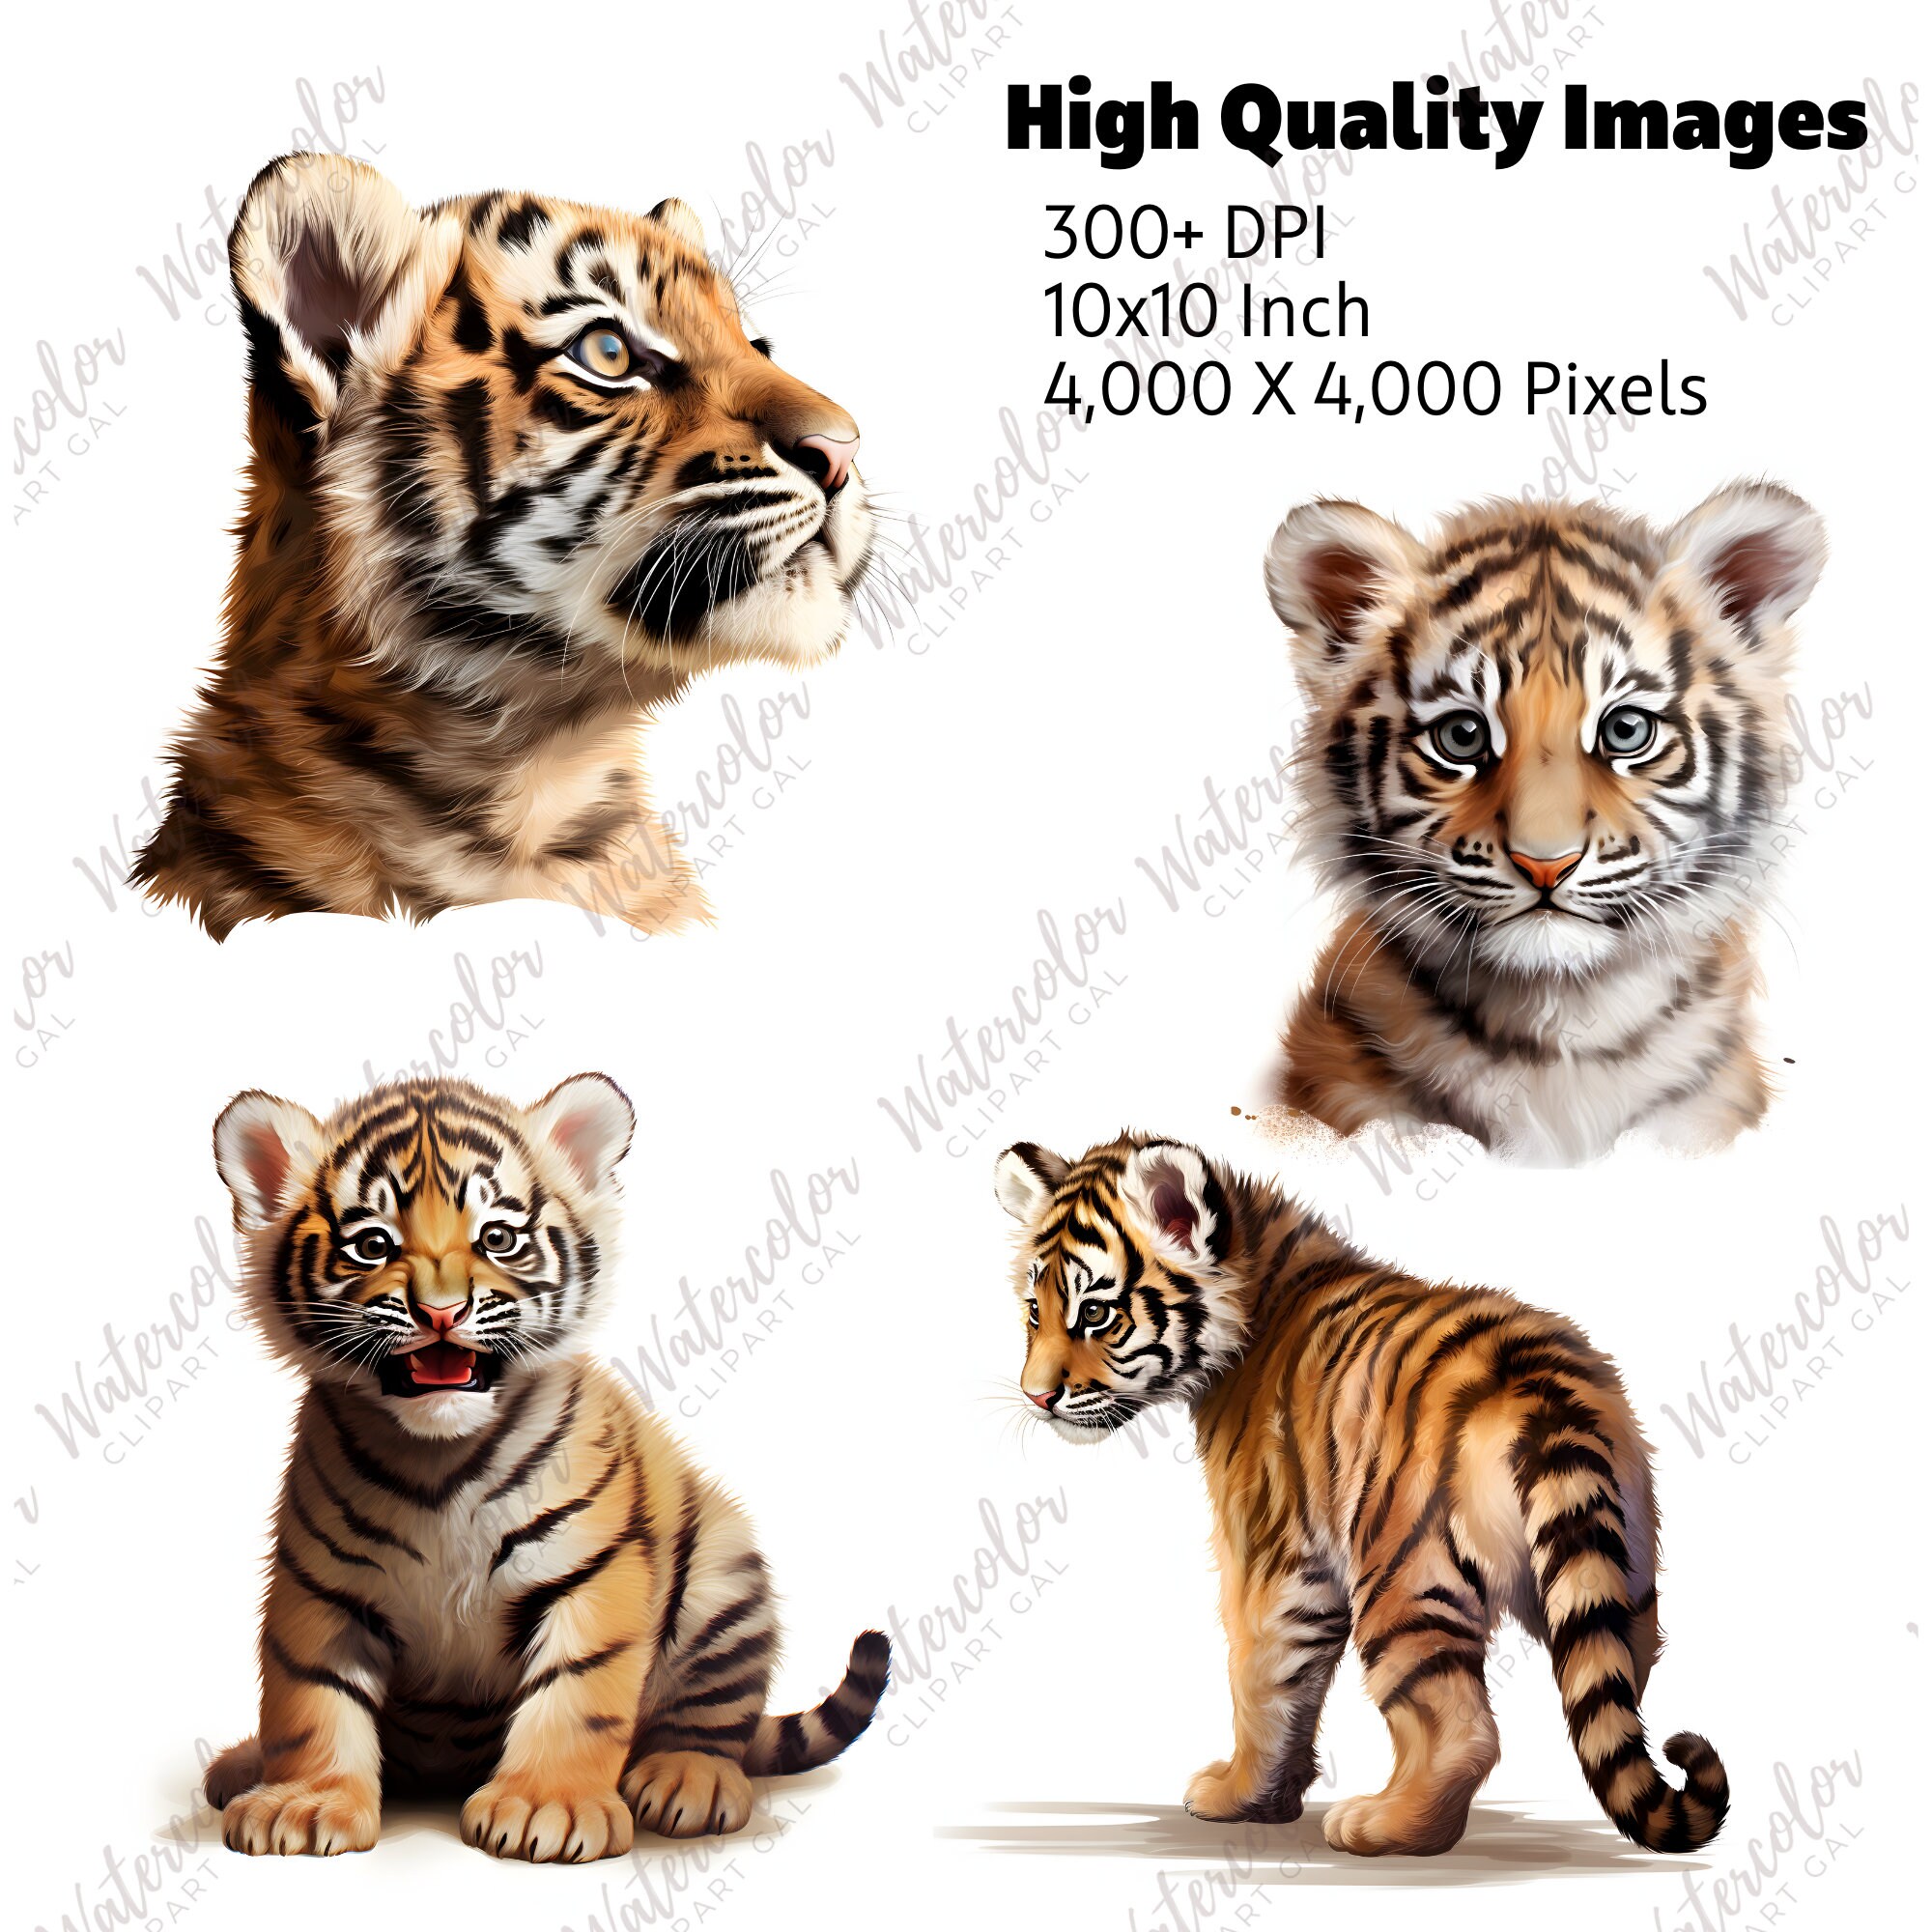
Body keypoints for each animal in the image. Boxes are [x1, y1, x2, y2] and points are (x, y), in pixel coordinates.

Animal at [202, 1071, 888, 1859]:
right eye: (372, 1245)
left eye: (497, 1238)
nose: (441, 1313)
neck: (438, 1456)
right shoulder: (319, 1585)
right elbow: (309, 1698)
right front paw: (305, 1801)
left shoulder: (590, 1570)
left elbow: (578, 1695)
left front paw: (544, 1807)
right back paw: (242, 1765)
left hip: (724, 1576)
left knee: (711, 1718)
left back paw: (689, 1779)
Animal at [993, 1132, 1729, 1858]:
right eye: (1033, 1312)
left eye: (1095, 1313)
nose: (1036, 1396)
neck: (1258, 1285)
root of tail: (1537, 1382)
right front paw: (1276, 1800)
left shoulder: (1267, 1555)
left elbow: (1260, 1678)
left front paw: (1234, 1795)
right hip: (1621, 1571)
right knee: (1616, 1680)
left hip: (1405, 1580)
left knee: (1461, 1728)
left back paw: (1384, 1825)